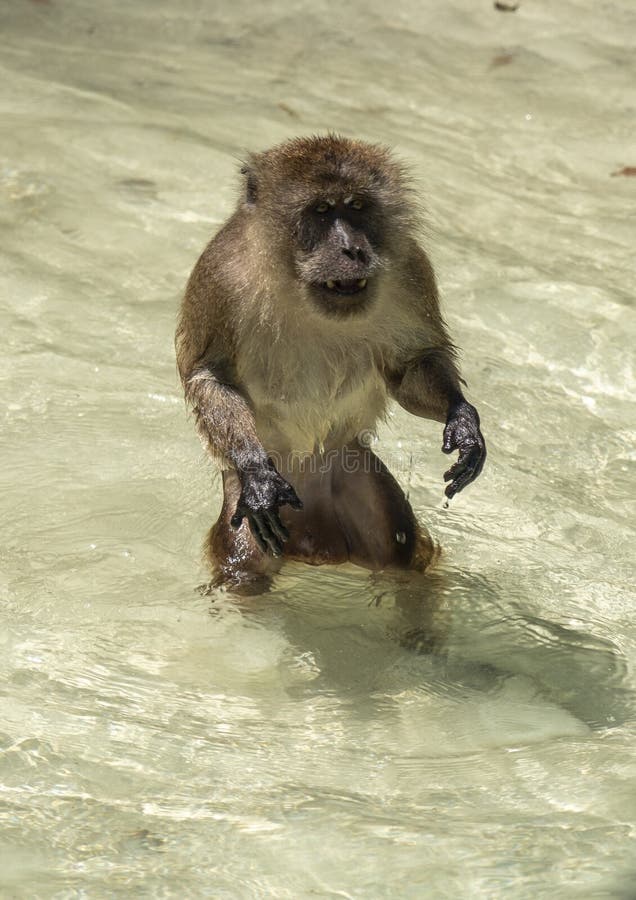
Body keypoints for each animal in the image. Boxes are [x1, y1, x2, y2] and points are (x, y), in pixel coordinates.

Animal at [175, 135, 486, 592]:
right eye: (321, 210)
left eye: (356, 206)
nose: (352, 249)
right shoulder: (219, 275)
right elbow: (207, 374)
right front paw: (257, 473)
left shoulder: (409, 268)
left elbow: (411, 364)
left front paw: (463, 420)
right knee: (244, 563)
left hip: (352, 469)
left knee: (402, 553)